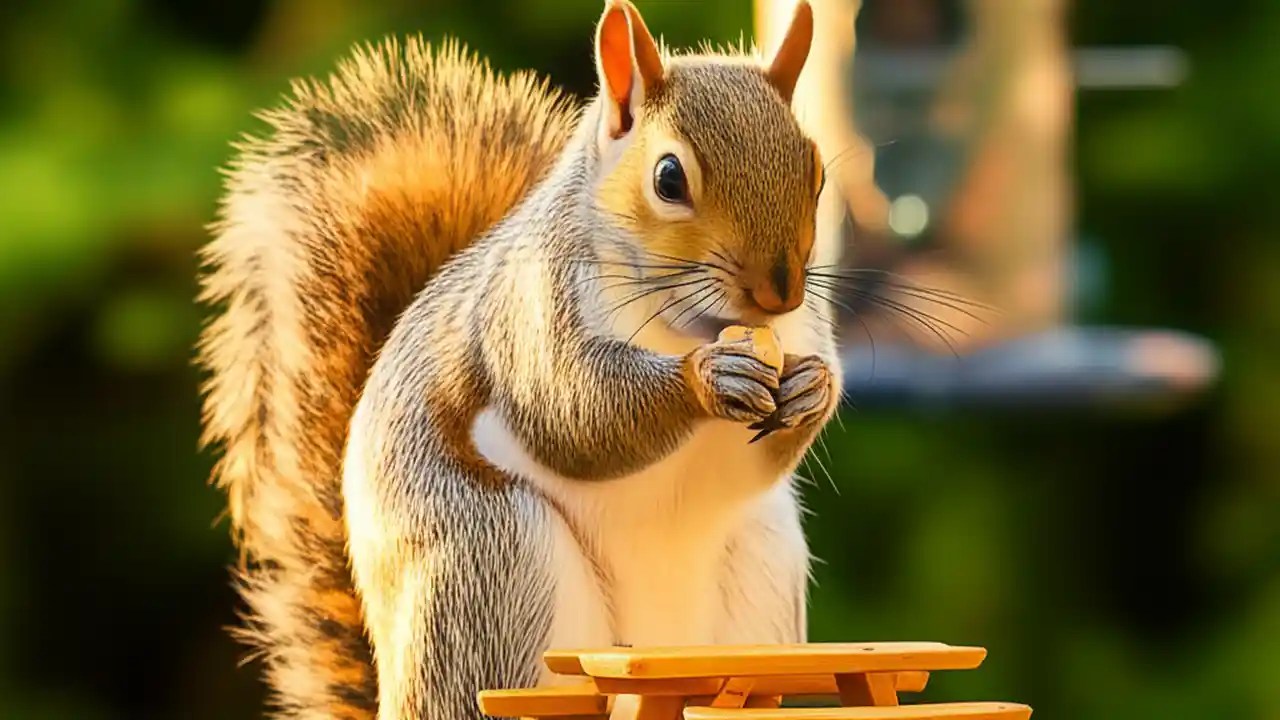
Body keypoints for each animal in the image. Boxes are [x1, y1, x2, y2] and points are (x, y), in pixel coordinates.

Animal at [197, 1, 842, 718]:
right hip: (492, 565)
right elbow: (574, 413)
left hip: (759, 568)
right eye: (669, 178)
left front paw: (813, 387)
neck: (688, 326)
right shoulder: (529, 312)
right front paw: (706, 380)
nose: (778, 292)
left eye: (817, 173)